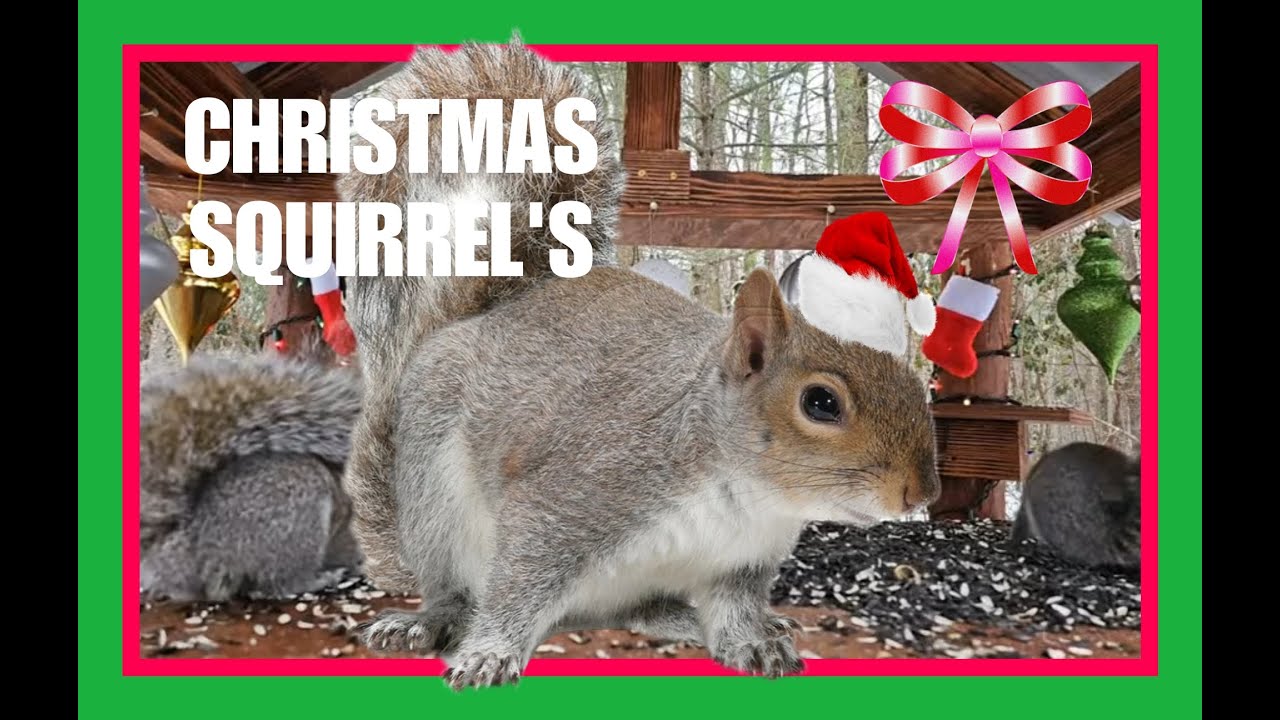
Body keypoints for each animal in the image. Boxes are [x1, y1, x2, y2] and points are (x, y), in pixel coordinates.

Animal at [336, 42, 940, 688]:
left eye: (916, 386)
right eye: (821, 402)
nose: (921, 493)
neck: (747, 498)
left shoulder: (741, 563)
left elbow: (734, 611)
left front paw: (753, 642)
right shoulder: (576, 497)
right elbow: (518, 584)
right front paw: (489, 653)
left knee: (642, 611)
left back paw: (703, 620)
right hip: (435, 496)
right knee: (455, 590)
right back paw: (427, 622)